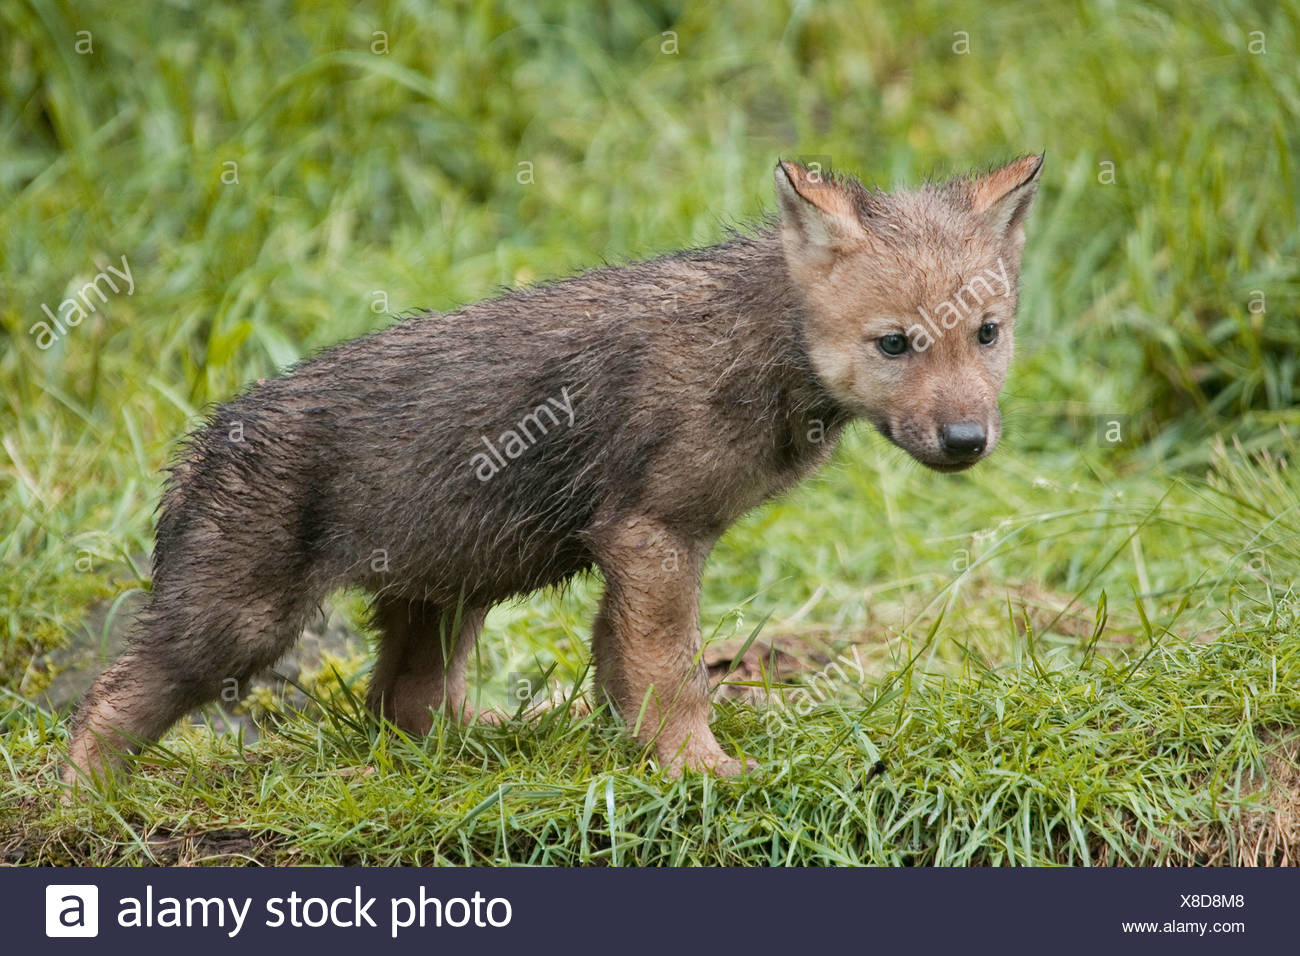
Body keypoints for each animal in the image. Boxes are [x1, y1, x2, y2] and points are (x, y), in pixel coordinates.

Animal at [65, 154, 1043, 788]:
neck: (762, 351)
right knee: (105, 702)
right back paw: (83, 811)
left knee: (401, 707)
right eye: (895, 344)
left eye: (986, 333)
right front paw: (705, 770)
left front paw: (639, 758)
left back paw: (497, 740)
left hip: (448, 594)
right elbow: (670, 674)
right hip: (238, 626)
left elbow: (623, 671)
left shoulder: (643, 549)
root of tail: (201, 445)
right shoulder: (652, 537)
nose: (967, 439)